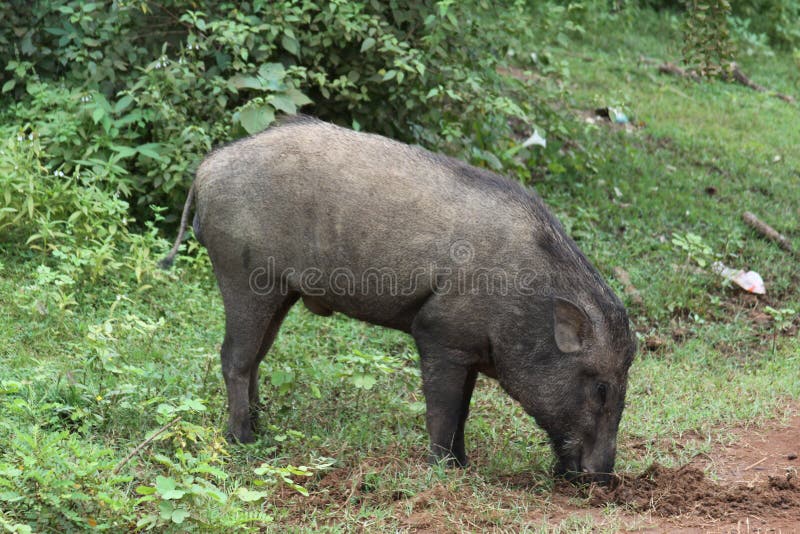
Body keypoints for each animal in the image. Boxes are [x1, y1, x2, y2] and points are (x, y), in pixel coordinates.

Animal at [161, 115, 636, 483]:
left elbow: (462, 411)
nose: (604, 476)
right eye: (601, 387)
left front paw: (463, 465)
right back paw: (243, 440)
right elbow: (443, 411)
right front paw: (445, 470)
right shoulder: (438, 335)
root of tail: (205, 168)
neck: (523, 302)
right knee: (234, 358)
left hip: (280, 293)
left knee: (256, 357)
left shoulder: (467, 351)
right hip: (244, 278)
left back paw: (262, 427)